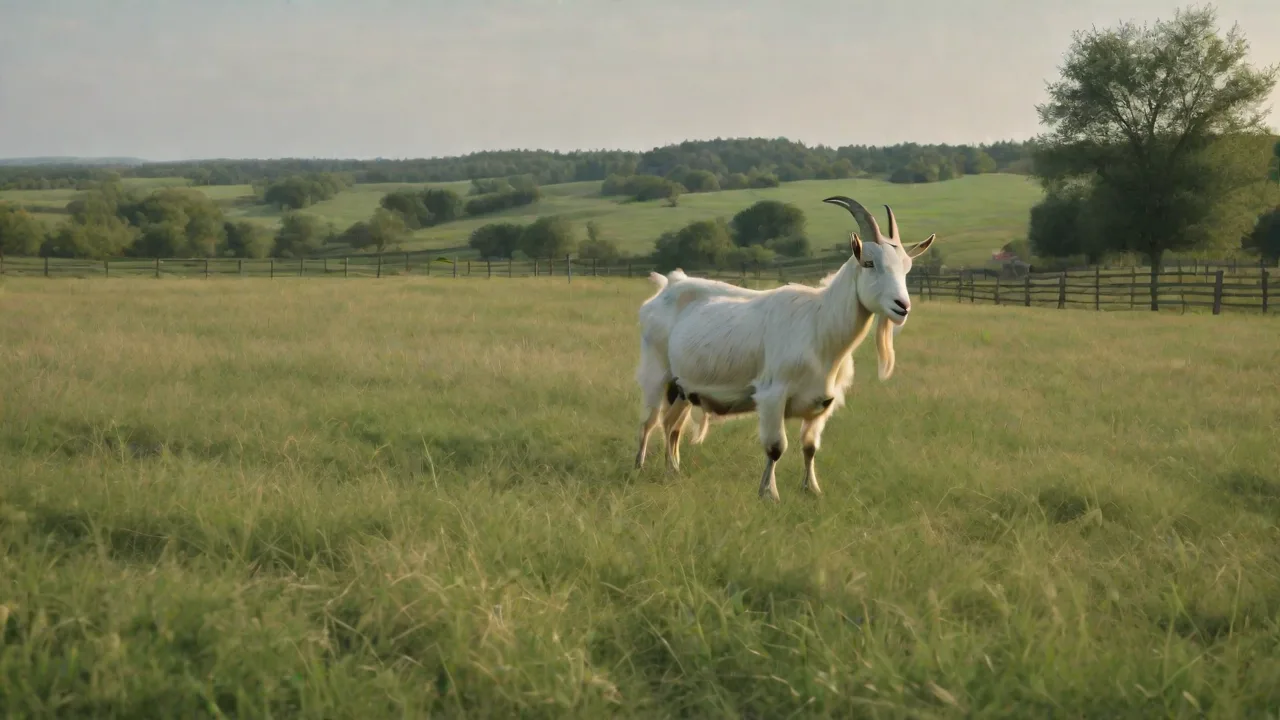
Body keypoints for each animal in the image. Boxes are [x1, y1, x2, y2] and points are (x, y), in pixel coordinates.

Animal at [635, 195, 936, 501]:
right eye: (869, 262)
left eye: (907, 267)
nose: (902, 306)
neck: (819, 324)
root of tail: (668, 285)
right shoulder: (772, 394)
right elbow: (776, 447)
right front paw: (769, 494)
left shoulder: (823, 401)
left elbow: (810, 447)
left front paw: (812, 489)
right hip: (656, 371)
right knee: (649, 420)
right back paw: (640, 466)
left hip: (684, 389)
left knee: (671, 425)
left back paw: (673, 470)